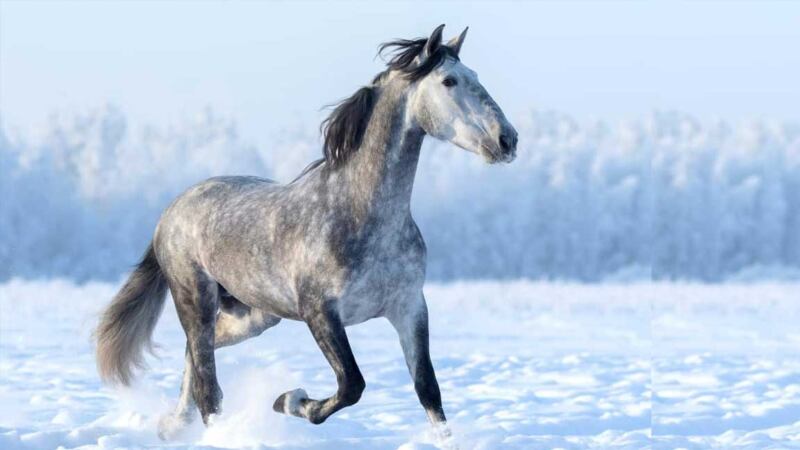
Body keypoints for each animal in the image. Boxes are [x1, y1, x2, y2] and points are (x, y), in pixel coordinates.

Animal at [95, 24, 518, 440]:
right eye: (449, 81)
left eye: (474, 76)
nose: (507, 140)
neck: (361, 216)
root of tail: (172, 210)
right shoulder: (320, 312)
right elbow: (351, 384)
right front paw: (290, 400)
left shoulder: (409, 307)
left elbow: (428, 389)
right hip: (195, 299)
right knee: (206, 381)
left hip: (253, 316)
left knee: (196, 357)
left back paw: (173, 425)